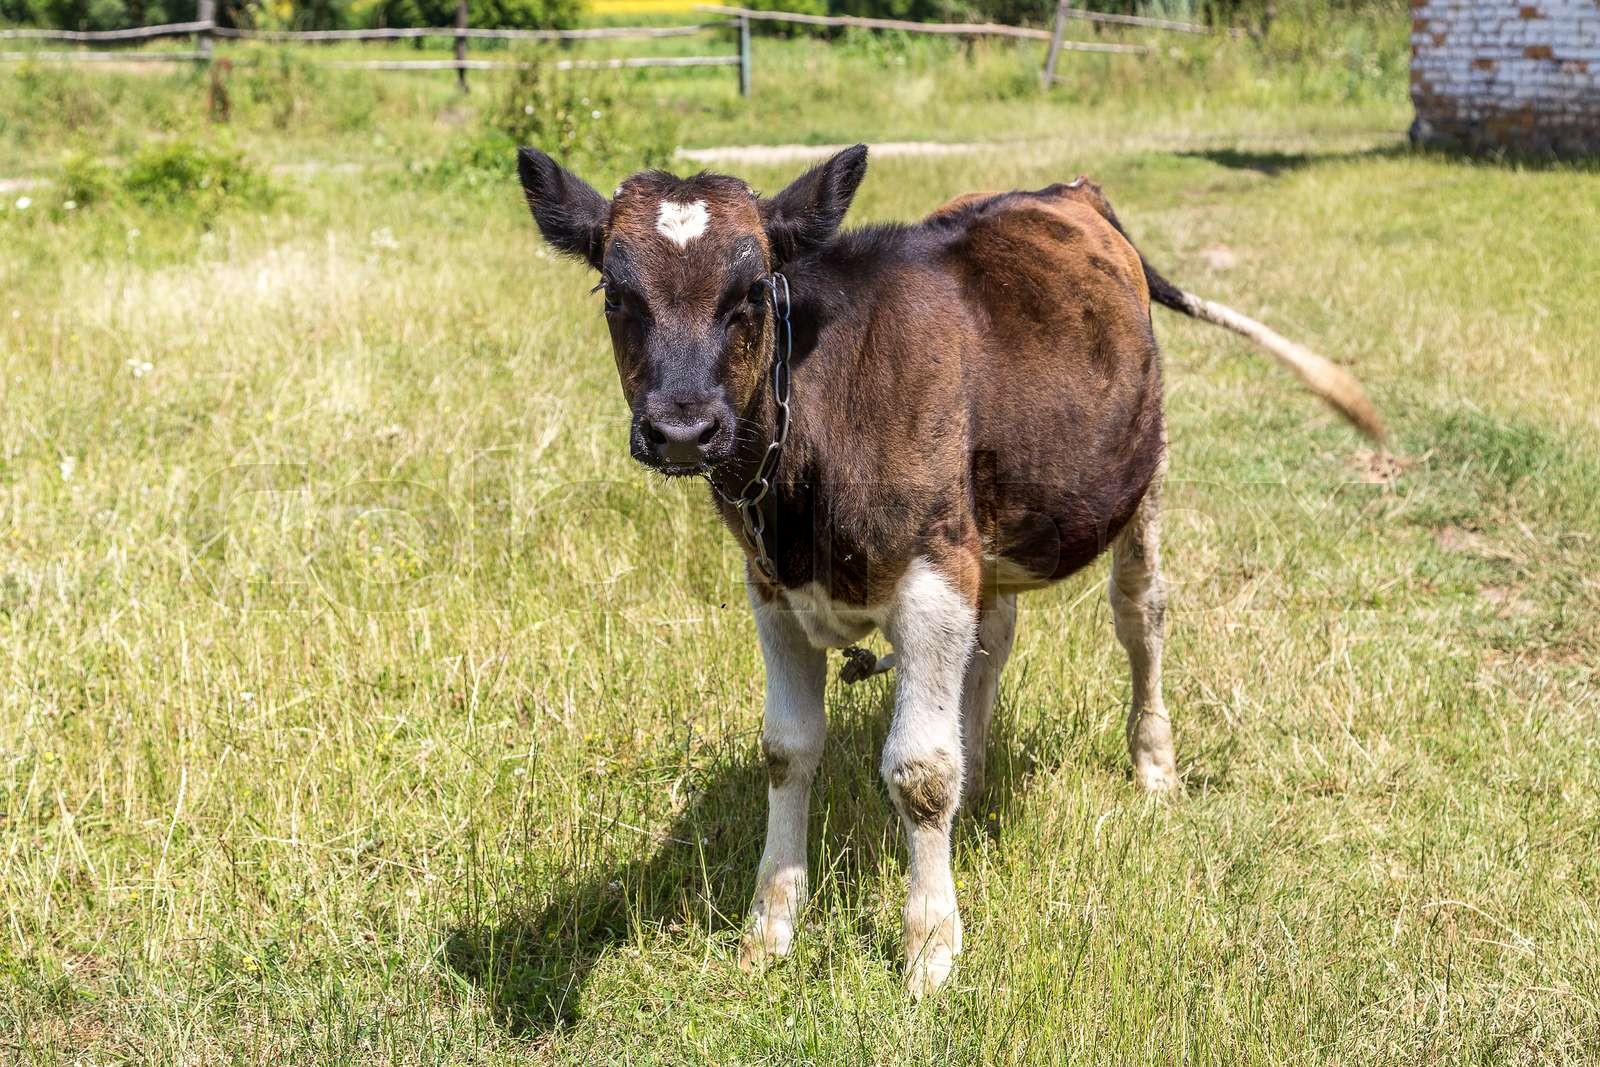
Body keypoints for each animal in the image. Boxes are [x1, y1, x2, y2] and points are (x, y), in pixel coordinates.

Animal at [516, 144, 1383, 997]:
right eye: (616, 294)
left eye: (754, 290)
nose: (683, 429)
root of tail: (1068, 188)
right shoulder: (771, 590)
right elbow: (788, 748)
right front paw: (769, 927)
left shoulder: (933, 572)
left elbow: (920, 769)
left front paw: (930, 945)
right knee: (994, 636)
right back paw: (982, 766)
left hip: (1142, 475)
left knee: (1141, 616)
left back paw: (1153, 763)